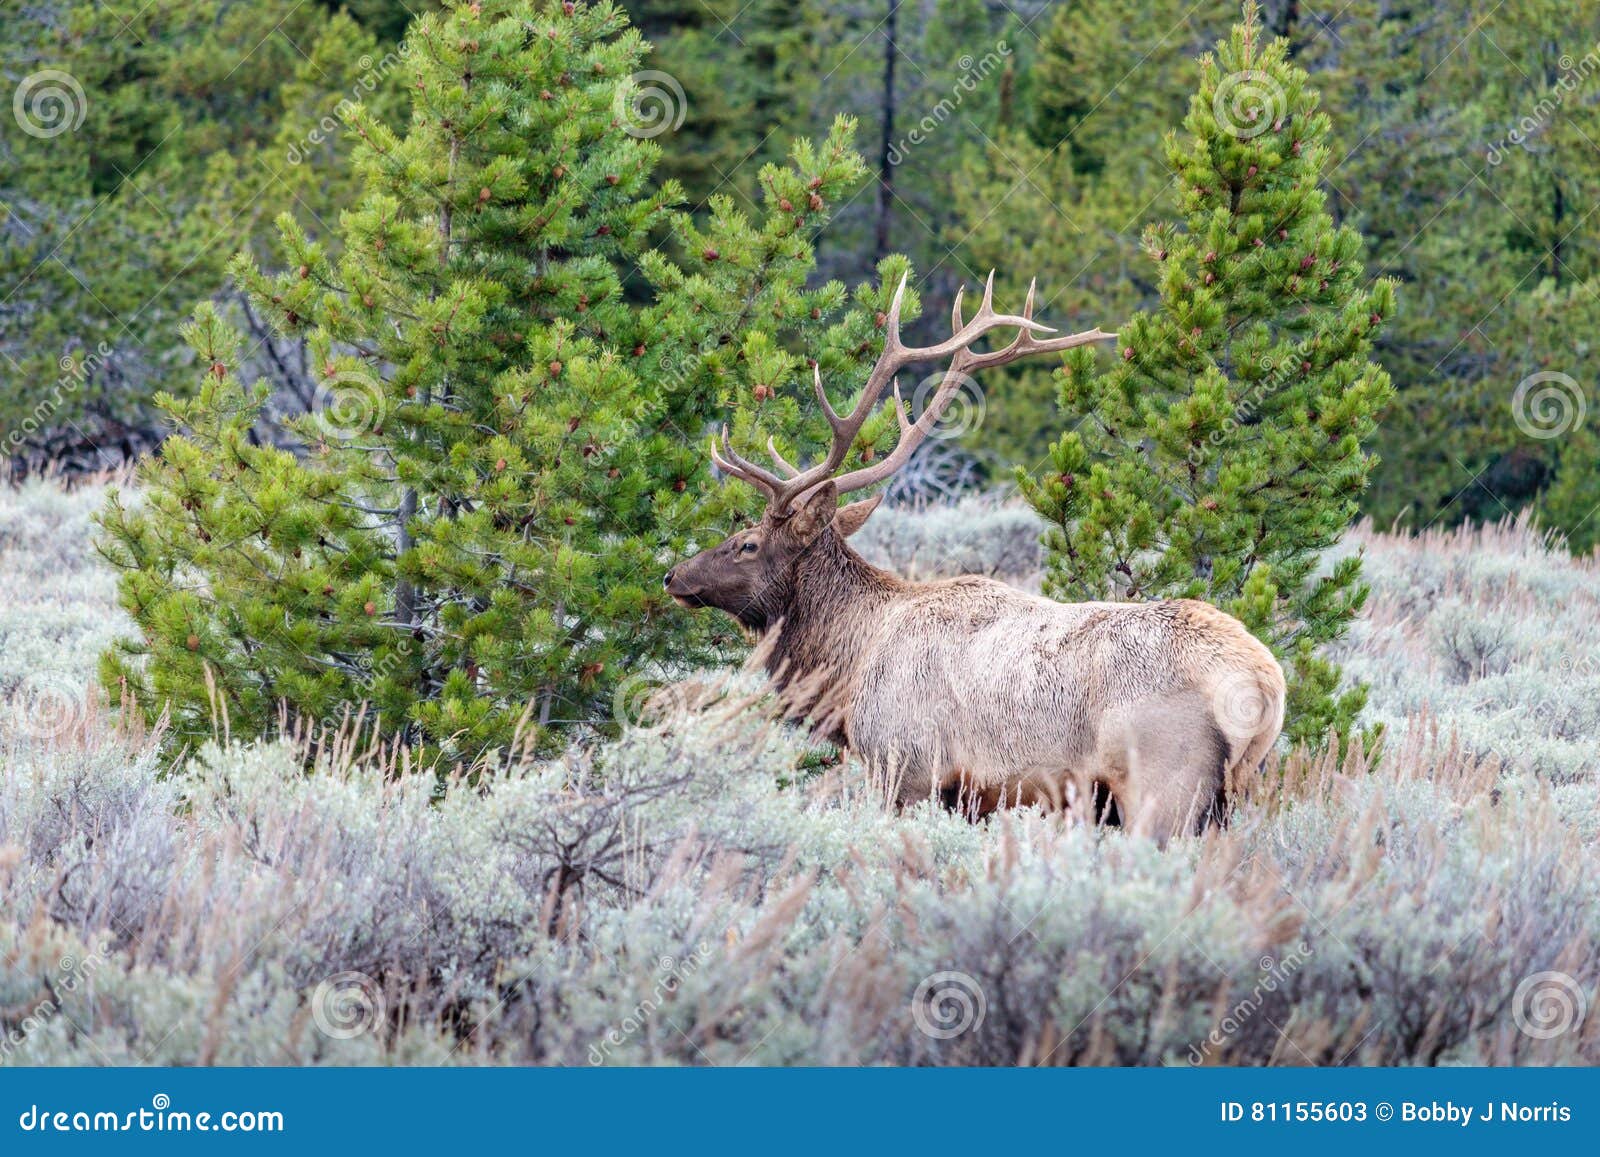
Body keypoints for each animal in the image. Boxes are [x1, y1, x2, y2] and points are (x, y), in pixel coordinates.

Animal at [664, 273, 1285, 842]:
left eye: (747, 544)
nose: (673, 575)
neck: (848, 668)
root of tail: (1266, 685)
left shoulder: (905, 766)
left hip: (1162, 784)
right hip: (1233, 796)